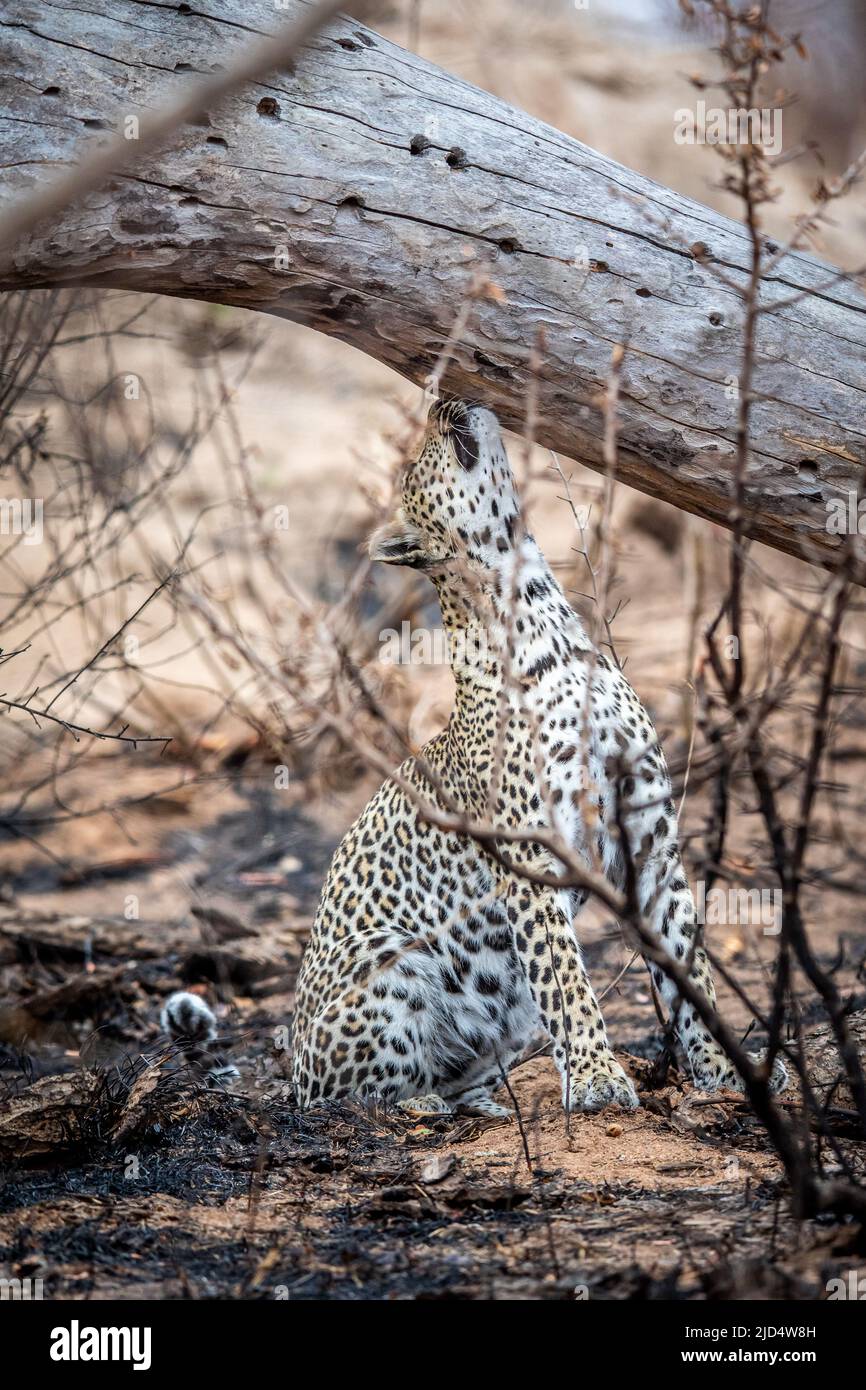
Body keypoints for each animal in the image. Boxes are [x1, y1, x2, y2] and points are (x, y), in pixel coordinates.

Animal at [291, 397, 786, 1118]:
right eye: (416, 461)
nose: (441, 400)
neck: (543, 618)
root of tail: (289, 1068)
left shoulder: (650, 835)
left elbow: (687, 964)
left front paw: (727, 1070)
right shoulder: (528, 853)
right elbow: (566, 978)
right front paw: (599, 1078)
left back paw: (481, 1103)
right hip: (383, 955)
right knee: (342, 1095)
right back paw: (416, 1106)